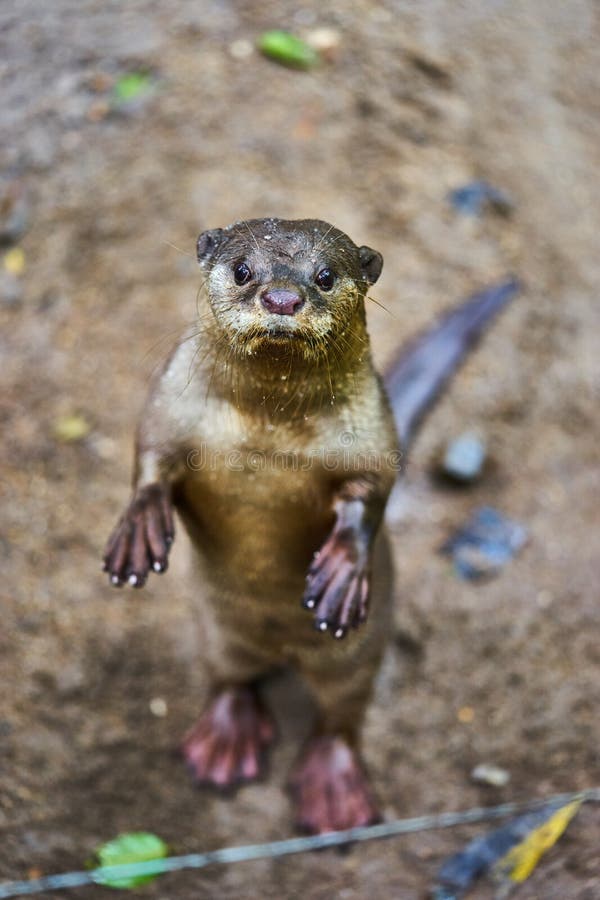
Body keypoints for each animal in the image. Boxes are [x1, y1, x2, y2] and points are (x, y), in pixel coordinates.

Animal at [103, 217, 517, 833]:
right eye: (243, 269)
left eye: (324, 275)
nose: (282, 297)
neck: (268, 429)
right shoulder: (169, 400)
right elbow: (152, 459)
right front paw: (138, 531)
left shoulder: (371, 431)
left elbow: (370, 491)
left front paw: (342, 570)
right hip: (218, 631)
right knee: (231, 677)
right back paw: (225, 742)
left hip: (358, 653)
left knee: (341, 715)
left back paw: (333, 789)